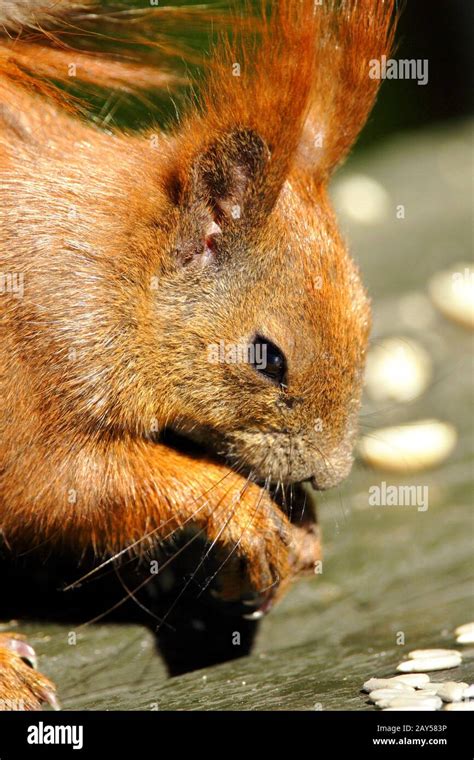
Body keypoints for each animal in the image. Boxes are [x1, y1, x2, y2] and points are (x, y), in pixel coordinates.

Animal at [0, 1, 396, 710]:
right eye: (267, 358)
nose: (331, 474)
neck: (125, 273)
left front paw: (301, 529)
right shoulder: (39, 358)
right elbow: (61, 484)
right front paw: (242, 510)